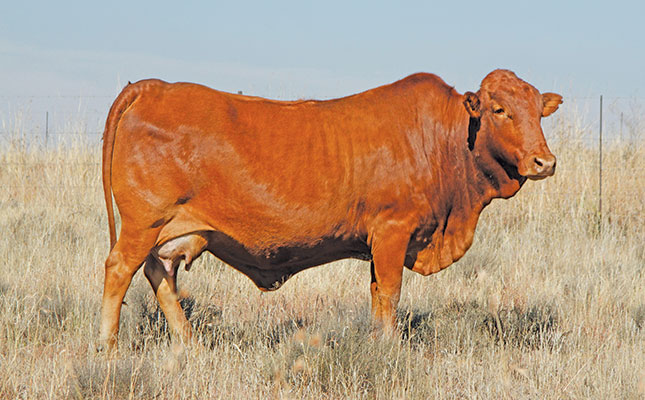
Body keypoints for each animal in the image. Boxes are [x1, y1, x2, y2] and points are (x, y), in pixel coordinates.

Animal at [99, 69, 562, 351]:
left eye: (539, 111)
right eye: (500, 110)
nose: (544, 161)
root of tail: (153, 86)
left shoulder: (380, 243)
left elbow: (377, 295)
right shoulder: (393, 231)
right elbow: (390, 295)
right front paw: (389, 348)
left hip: (172, 232)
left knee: (159, 273)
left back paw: (189, 343)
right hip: (143, 225)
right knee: (120, 270)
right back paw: (108, 349)